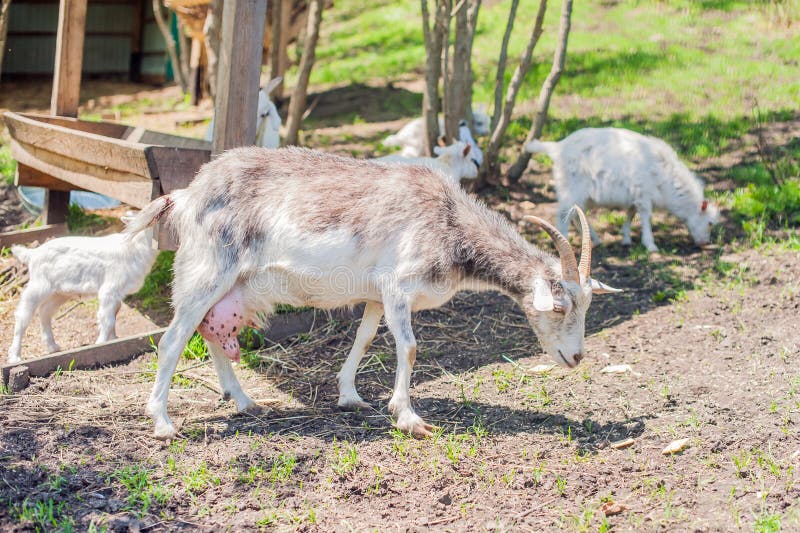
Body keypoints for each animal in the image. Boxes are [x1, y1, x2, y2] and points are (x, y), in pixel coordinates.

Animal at [7, 215, 157, 363]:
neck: (134, 246)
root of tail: (33, 254)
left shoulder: (117, 294)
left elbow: (114, 313)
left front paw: (113, 339)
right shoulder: (109, 290)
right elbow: (107, 319)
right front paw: (101, 344)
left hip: (59, 293)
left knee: (45, 311)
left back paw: (53, 347)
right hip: (39, 286)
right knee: (23, 316)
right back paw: (15, 356)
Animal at [126, 147, 620, 440]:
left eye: (587, 306)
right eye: (559, 306)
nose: (576, 357)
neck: (449, 222)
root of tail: (186, 195)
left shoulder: (377, 297)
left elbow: (363, 339)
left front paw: (350, 396)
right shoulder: (399, 288)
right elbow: (410, 347)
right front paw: (409, 416)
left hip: (232, 286)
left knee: (210, 333)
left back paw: (245, 401)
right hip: (208, 269)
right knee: (173, 339)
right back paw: (163, 422)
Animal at [526, 128, 719, 252]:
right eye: (709, 223)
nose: (705, 243)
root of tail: (557, 147)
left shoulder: (635, 197)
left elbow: (630, 215)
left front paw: (626, 238)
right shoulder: (643, 195)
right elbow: (646, 218)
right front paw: (650, 245)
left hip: (582, 196)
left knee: (575, 215)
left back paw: (594, 240)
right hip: (571, 189)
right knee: (562, 215)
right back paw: (567, 240)